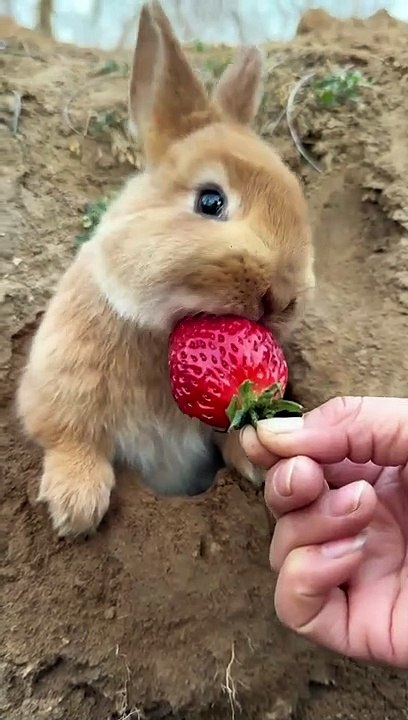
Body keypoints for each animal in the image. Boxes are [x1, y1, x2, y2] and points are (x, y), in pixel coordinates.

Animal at [16, 0, 315, 537]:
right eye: (211, 201)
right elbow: (70, 437)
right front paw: (75, 506)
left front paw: (258, 458)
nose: (283, 297)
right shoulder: (57, 392)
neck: (164, 329)